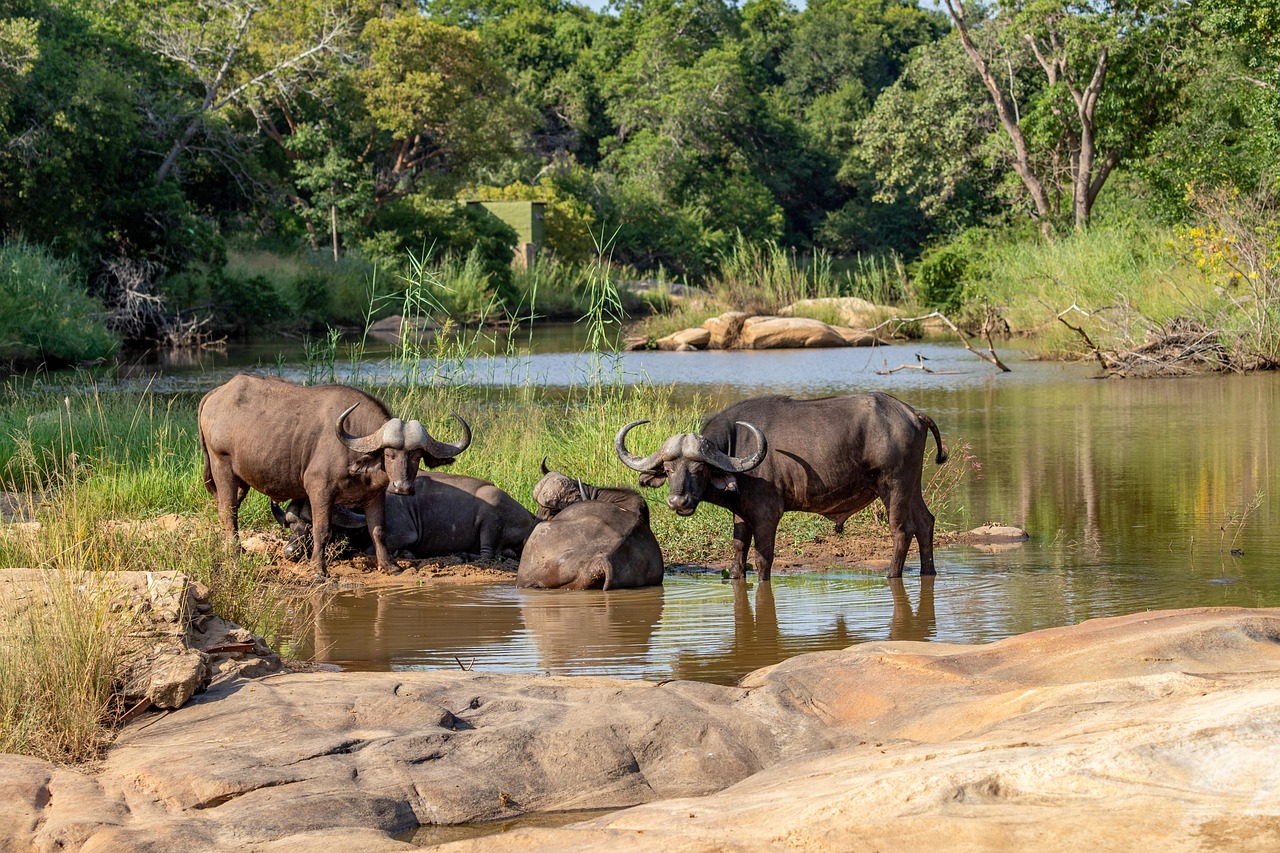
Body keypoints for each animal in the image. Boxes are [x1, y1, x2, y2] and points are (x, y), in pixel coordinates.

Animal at [198, 374, 470, 576]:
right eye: (389, 454)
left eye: (415, 456)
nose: (402, 487)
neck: (354, 451)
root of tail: (216, 394)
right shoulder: (320, 490)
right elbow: (323, 529)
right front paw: (318, 570)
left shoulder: (375, 495)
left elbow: (378, 530)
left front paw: (389, 565)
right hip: (221, 466)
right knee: (228, 511)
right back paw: (235, 553)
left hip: (241, 479)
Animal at [271, 471, 537, 562]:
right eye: (292, 524)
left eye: (312, 525)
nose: (290, 551)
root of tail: (530, 516)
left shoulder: (403, 534)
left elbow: (369, 549)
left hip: (490, 513)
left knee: (488, 553)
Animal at [615, 392, 947, 580]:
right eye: (669, 469)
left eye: (699, 468)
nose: (678, 502)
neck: (736, 449)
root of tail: (913, 413)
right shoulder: (741, 515)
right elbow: (738, 550)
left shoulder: (767, 515)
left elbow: (763, 559)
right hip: (912, 485)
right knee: (925, 522)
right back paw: (928, 571)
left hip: (893, 486)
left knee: (901, 530)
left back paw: (892, 575)